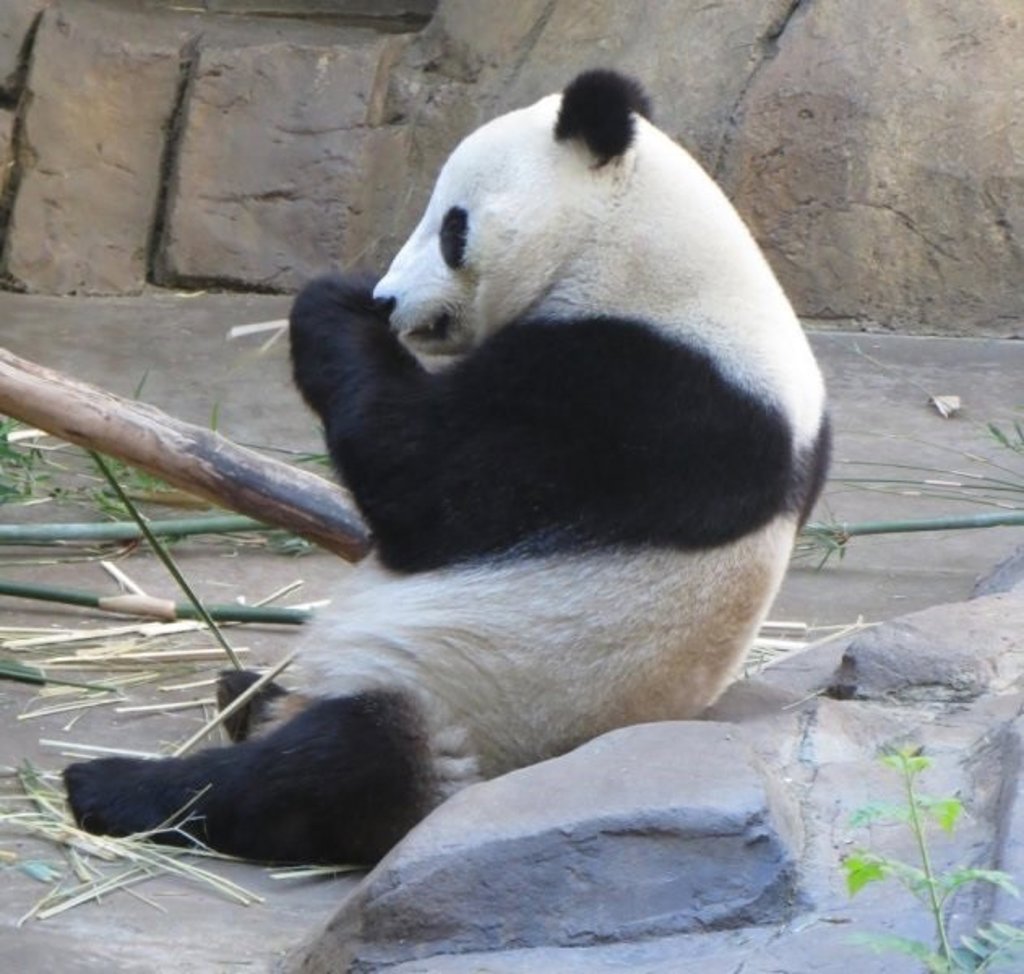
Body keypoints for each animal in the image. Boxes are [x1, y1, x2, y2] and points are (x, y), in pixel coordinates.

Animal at [63, 69, 829, 865]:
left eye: (452, 227)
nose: (389, 298)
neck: (655, 261)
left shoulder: (639, 399)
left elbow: (424, 481)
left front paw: (332, 301)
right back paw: (247, 693)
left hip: (460, 707)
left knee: (324, 769)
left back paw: (118, 785)